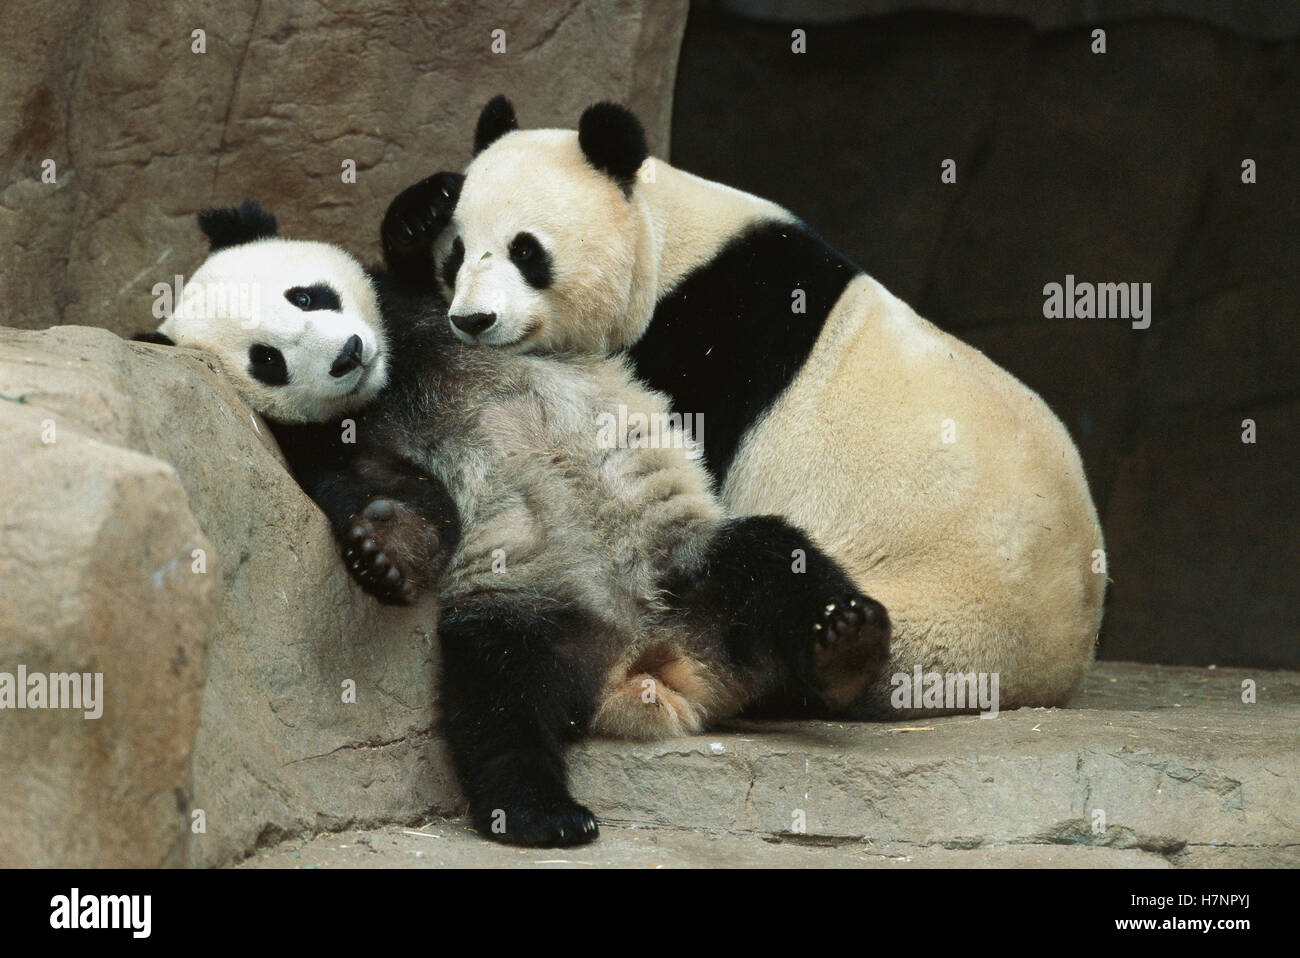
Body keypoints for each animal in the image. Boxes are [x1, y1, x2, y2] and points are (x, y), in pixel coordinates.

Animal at [134, 199, 891, 846]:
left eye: (308, 295)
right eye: (266, 358)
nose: (347, 354)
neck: (393, 373)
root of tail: (651, 664)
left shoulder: (425, 310)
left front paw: (419, 217)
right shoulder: (329, 435)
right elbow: (376, 484)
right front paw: (385, 551)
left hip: (683, 556)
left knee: (773, 556)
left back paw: (844, 644)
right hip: (534, 611)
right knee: (498, 702)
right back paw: (543, 815)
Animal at [403, 94, 1107, 718]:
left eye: (527, 251)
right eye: (458, 254)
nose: (474, 320)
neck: (670, 244)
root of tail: (1053, 671)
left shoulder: (712, 339)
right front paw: (420, 209)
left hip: (937, 618)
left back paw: (838, 655)